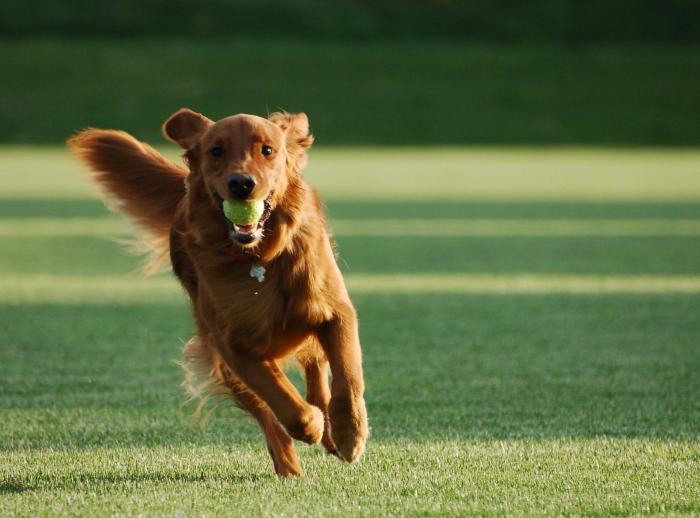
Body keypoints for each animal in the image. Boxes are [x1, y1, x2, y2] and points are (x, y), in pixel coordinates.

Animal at [68, 110, 370, 480]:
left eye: (267, 150)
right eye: (216, 151)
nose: (241, 183)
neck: (260, 257)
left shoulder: (335, 312)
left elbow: (347, 380)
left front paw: (349, 434)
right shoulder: (233, 345)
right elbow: (283, 400)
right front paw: (311, 424)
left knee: (316, 370)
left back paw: (329, 432)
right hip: (220, 357)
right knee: (268, 415)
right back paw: (290, 464)